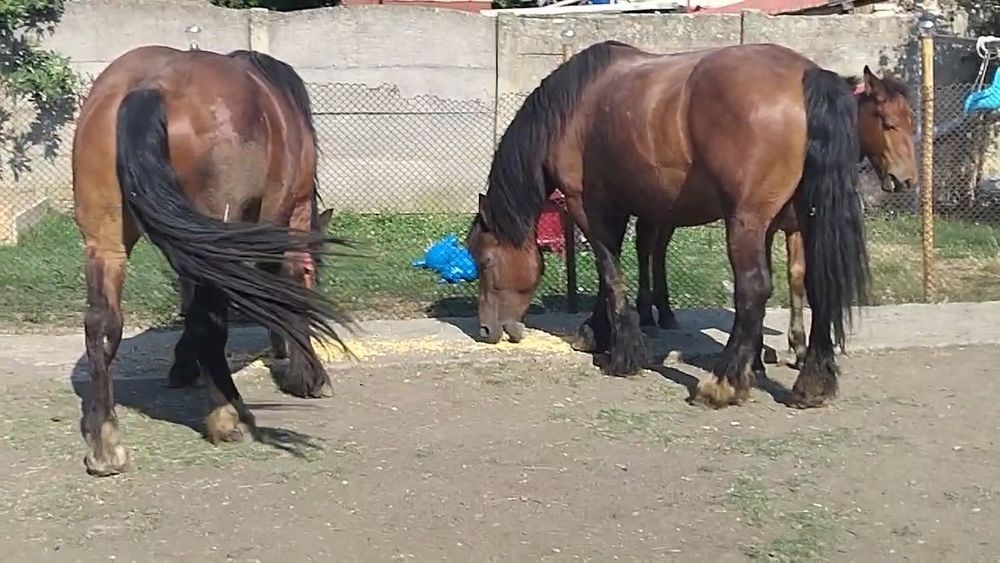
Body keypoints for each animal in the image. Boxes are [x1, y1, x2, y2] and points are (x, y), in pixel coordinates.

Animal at [72, 45, 354, 477]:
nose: (277, 350)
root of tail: (148, 87)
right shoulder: (292, 215)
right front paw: (309, 376)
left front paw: (183, 366)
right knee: (209, 323)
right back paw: (226, 415)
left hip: (106, 241)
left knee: (102, 324)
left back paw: (105, 444)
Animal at [467, 40, 882, 410]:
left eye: (485, 261)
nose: (486, 330)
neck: (574, 107)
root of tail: (805, 75)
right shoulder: (619, 206)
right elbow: (610, 272)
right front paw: (596, 333)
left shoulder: (586, 205)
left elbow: (610, 273)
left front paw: (623, 354)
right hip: (806, 220)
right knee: (818, 283)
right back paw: (811, 384)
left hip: (748, 222)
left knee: (753, 289)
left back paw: (722, 384)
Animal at [634, 65, 917, 369]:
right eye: (888, 123)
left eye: (911, 124)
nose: (907, 179)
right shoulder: (764, 227)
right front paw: (756, 352)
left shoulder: (796, 227)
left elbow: (797, 278)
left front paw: (799, 346)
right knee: (645, 245)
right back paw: (647, 314)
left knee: (658, 248)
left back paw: (665, 312)